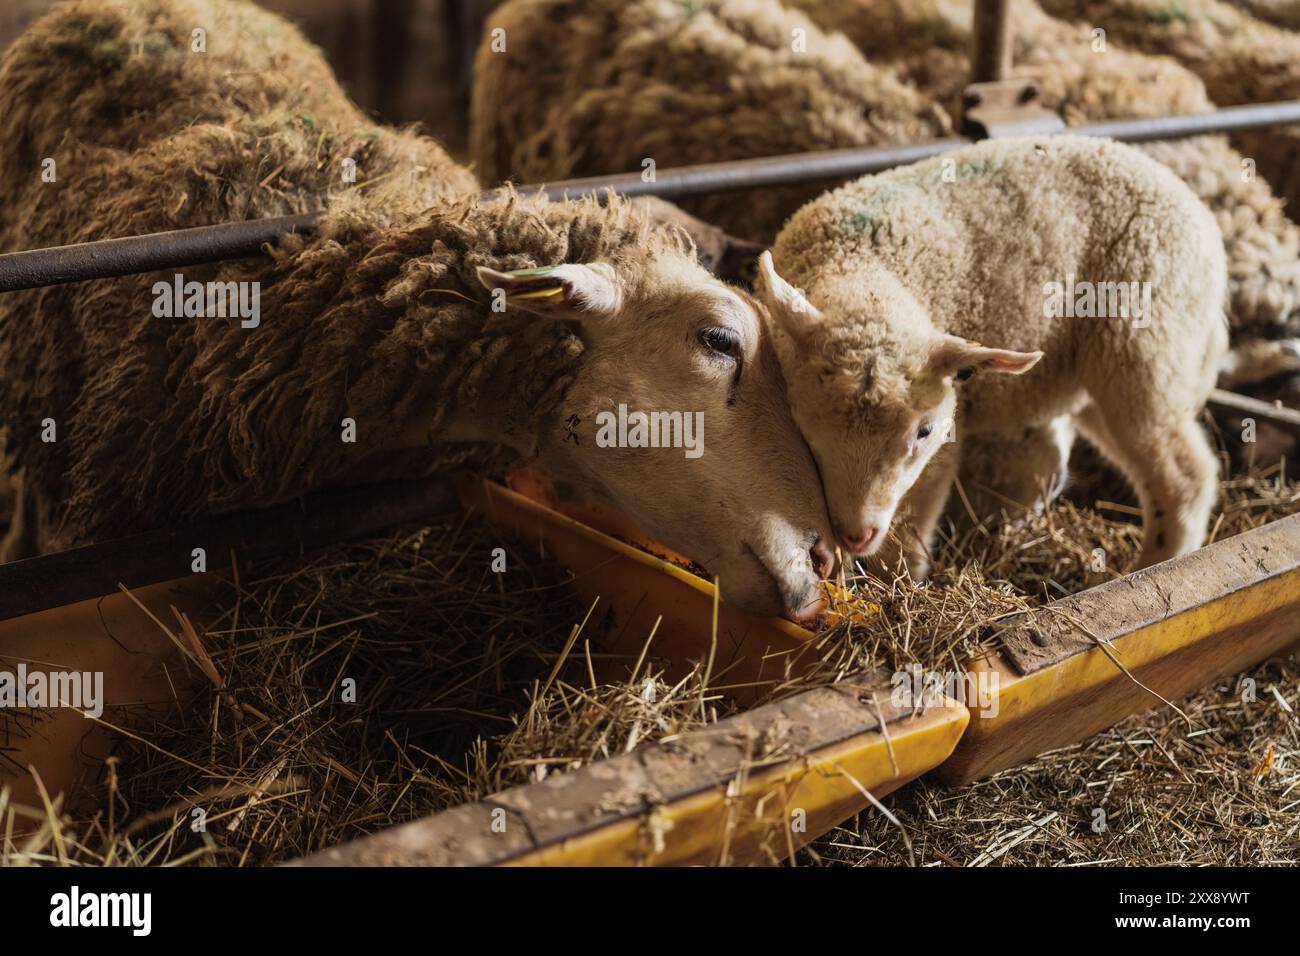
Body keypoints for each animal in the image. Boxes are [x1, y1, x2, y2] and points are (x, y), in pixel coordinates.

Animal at [761, 136, 1228, 576]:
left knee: (1186, 475)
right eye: (804, 425)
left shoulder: (944, 438)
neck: (866, 266)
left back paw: (1154, 564)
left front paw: (897, 585)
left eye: (924, 432)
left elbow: (909, 533)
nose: (857, 533)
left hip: (1146, 348)